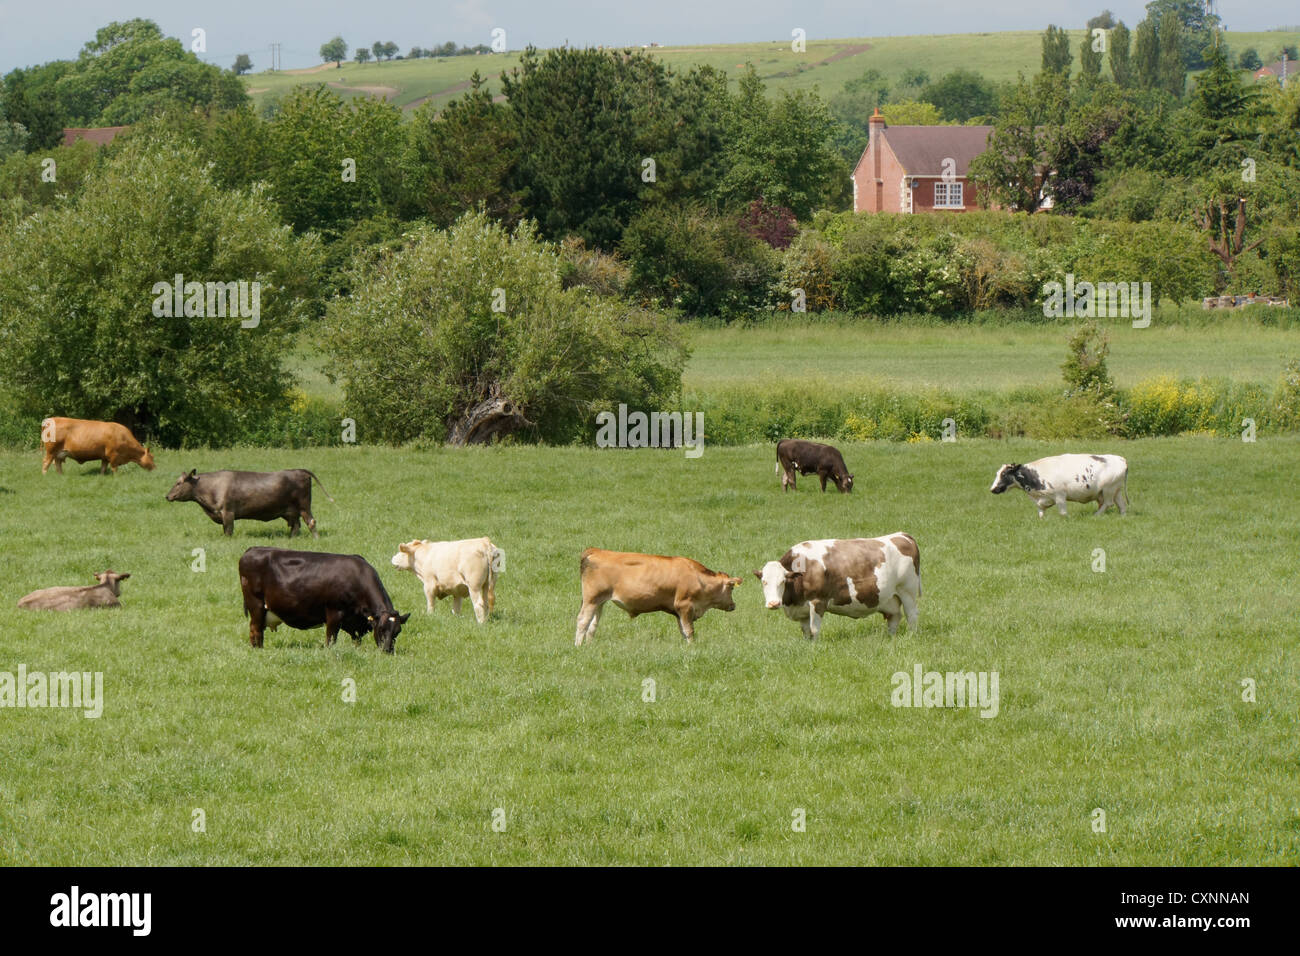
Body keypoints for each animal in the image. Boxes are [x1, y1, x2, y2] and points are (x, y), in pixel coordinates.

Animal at [166, 468, 334, 537]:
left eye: (179, 483)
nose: (167, 496)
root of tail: (299, 470)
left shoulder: (228, 512)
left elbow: (228, 530)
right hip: (291, 511)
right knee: (296, 525)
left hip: (304, 506)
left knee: (311, 522)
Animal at [237, 547, 409, 652]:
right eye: (380, 629)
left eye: (397, 631)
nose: (387, 650)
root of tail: (252, 549)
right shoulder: (334, 612)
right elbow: (331, 639)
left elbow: (356, 640)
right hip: (256, 605)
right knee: (255, 630)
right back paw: (258, 650)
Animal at [574, 548, 743, 645]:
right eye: (731, 588)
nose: (733, 605)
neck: (698, 579)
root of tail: (597, 551)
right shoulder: (685, 606)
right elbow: (689, 630)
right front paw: (692, 647)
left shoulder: (678, 611)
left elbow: (683, 630)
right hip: (591, 599)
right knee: (582, 621)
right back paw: (578, 646)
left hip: (599, 601)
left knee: (593, 624)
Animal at [756, 534, 920, 640]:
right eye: (764, 581)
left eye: (782, 581)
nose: (773, 603)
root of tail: (902, 535)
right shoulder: (802, 608)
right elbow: (806, 631)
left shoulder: (818, 601)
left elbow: (814, 630)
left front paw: (815, 647)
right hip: (890, 598)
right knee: (895, 617)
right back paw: (891, 637)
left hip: (908, 591)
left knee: (911, 616)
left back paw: (911, 637)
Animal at [990, 454, 1129, 518]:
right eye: (997, 473)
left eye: (1004, 474)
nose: (992, 489)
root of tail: (1121, 459)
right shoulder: (1041, 499)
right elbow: (1040, 512)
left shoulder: (1060, 496)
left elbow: (1063, 513)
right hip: (1116, 490)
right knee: (1121, 505)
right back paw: (1122, 516)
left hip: (1109, 489)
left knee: (1108, 503)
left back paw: (1096, 515)